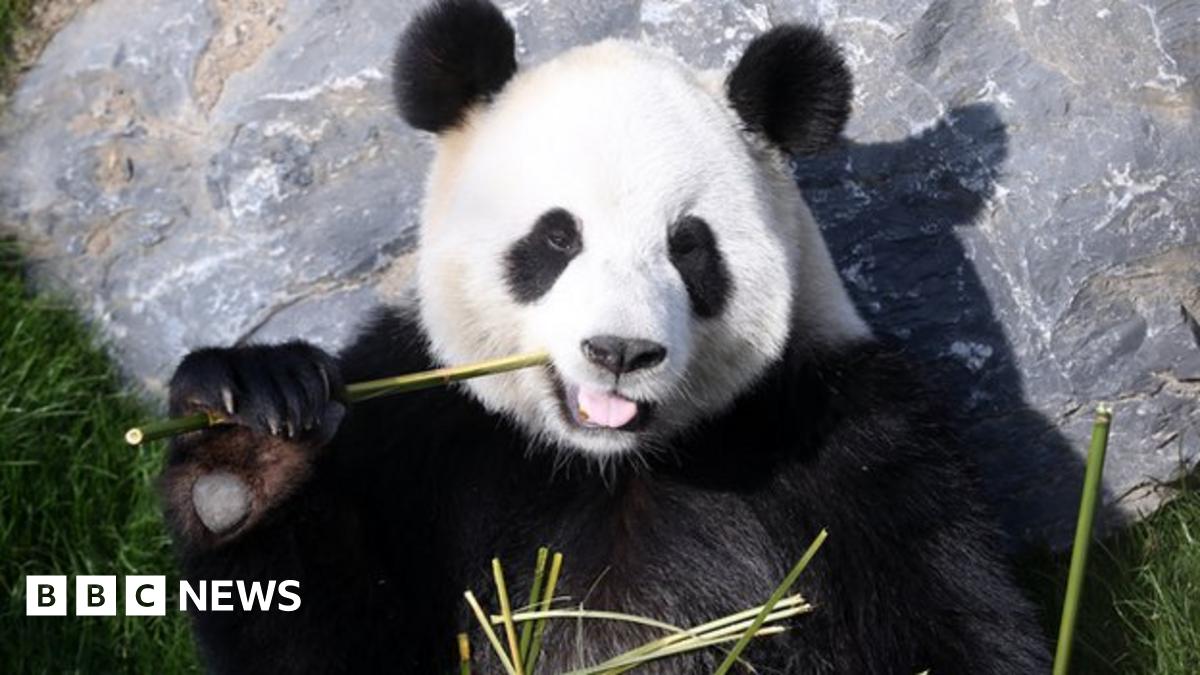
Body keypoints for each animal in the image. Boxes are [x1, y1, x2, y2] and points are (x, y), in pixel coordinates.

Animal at [159, 0, 1050, 672]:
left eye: (688, 246)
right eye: (557, 238)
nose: (620, 352)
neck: (610, 463)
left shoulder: (854, 442)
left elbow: (955, 620)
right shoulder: (422, 434)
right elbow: (334, 642)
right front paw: (244, 439)